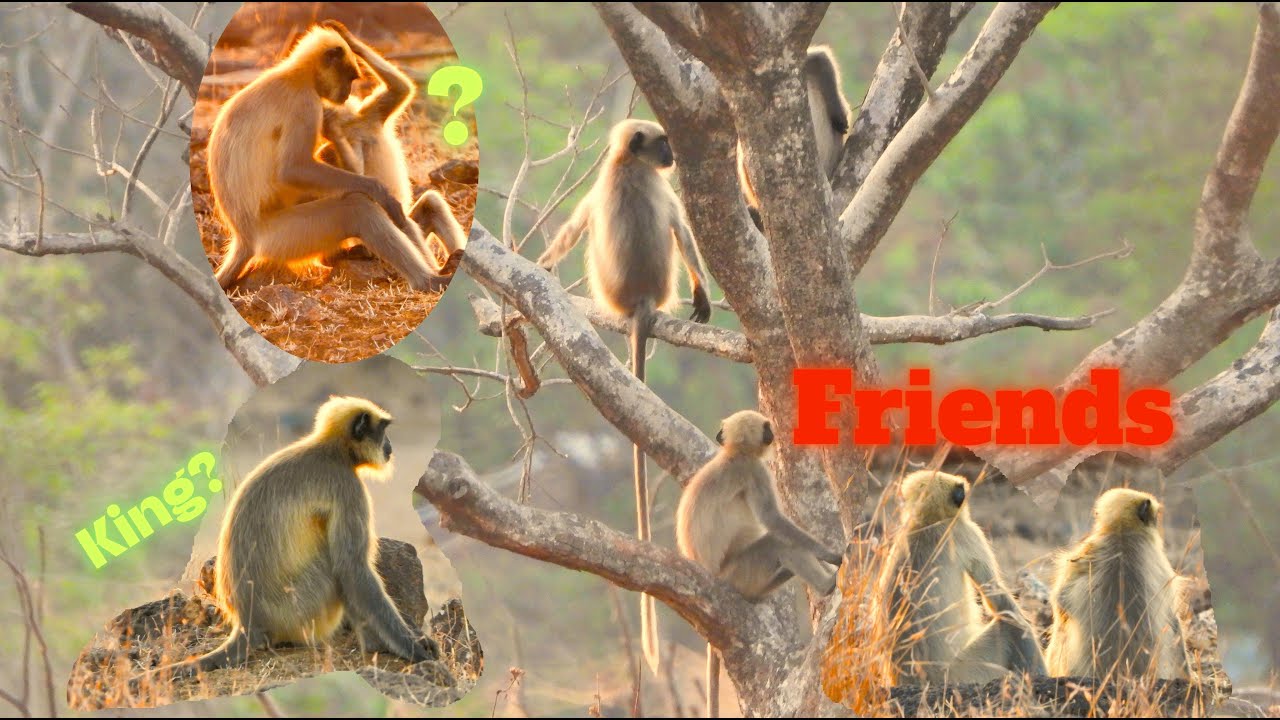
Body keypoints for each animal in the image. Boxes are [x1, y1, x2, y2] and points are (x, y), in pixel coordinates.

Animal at [148, 396, 438, 682]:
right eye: (383, 431)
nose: (389, 448)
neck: (332, 450)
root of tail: (249, 624)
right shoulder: (347, 485)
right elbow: (352, 568)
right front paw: (414, 647)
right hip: (304, 609)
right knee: (338, 569)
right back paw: (373, 645)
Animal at [205, 25, 449, 293]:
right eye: (349, 77)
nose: (347, 93)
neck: (297, 75)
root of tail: (245, 237)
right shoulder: (305, 102)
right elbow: (293, 169)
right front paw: (379, 190)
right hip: (283, 237)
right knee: (357, 208)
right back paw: (427, 280)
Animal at [314, 20, 467, 274]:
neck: (351, 127)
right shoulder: (328, 152)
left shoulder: (370, 115)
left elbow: (401, 88)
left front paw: (347, 37)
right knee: (399, 219)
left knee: (430, 204)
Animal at [677, 410, 844, 717]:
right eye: (766, 428)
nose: (773, 433)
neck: (733, 454)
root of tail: (710, 575)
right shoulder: (754, 471)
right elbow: (772, 520)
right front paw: (831, 556)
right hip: (738, 573)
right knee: (777, 543)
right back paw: (827, 585)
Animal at [879, 470, 1045, 686]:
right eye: (959, 490)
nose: (964, 491)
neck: (927, 523)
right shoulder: (966, 532)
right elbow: (997, 597)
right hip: (968, 670)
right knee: (1009, 620)